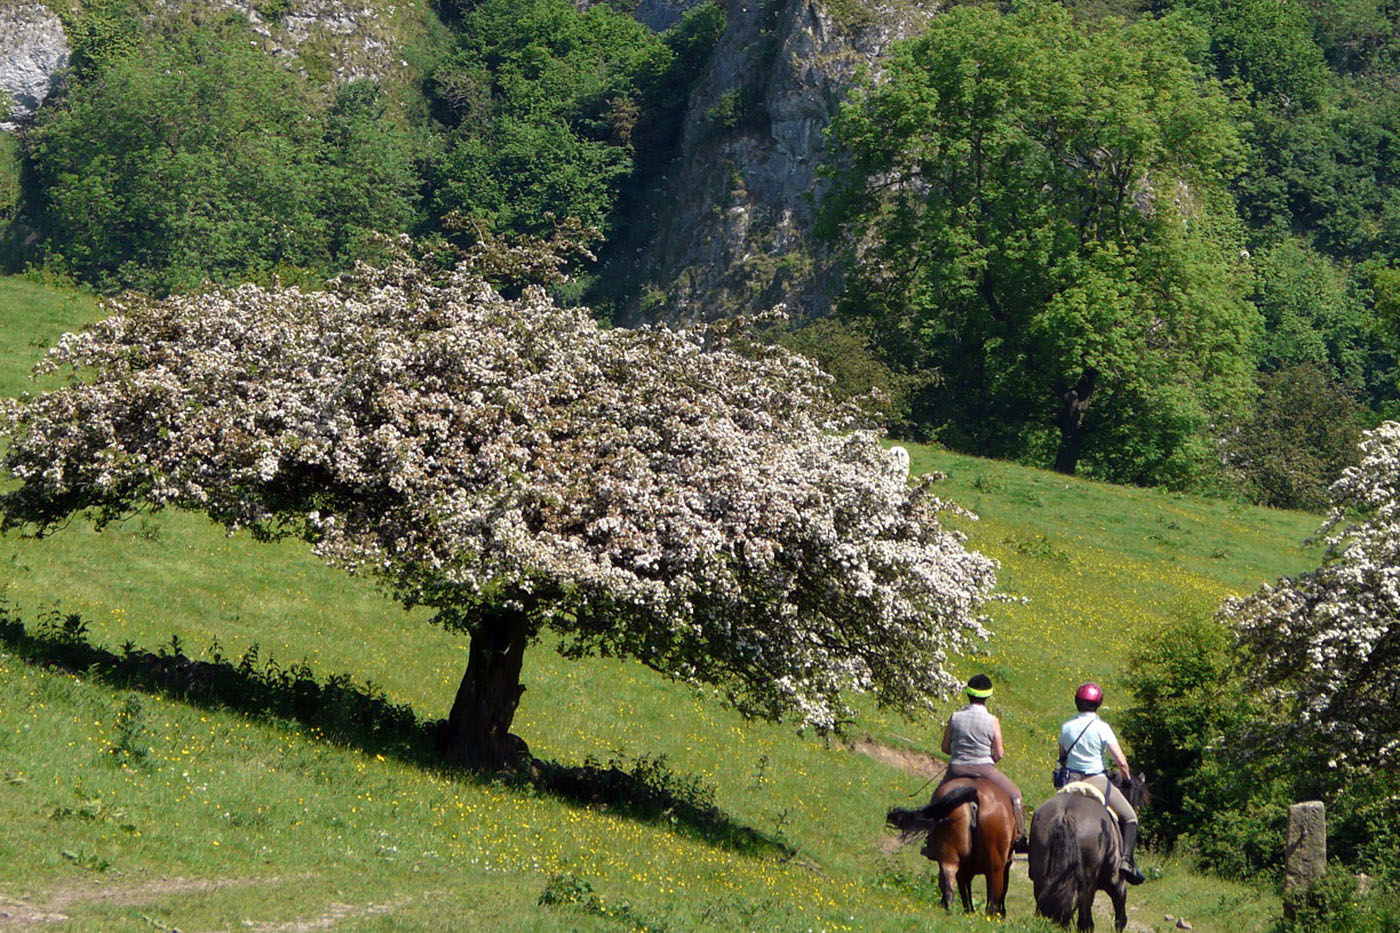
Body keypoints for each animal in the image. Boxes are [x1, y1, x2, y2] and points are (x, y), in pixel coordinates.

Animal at [887, 776, 1017, 916]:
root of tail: (974, 797)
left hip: (950, 855)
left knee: (948, 879)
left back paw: (948, 908)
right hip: (995, 868)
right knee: (992, 898)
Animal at [1027, 772, 1150, 932]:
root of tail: (1065, 815)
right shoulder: (1117, 885)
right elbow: (1120, 920)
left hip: (1041, 873)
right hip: (1087, 885)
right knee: (1085, 922)